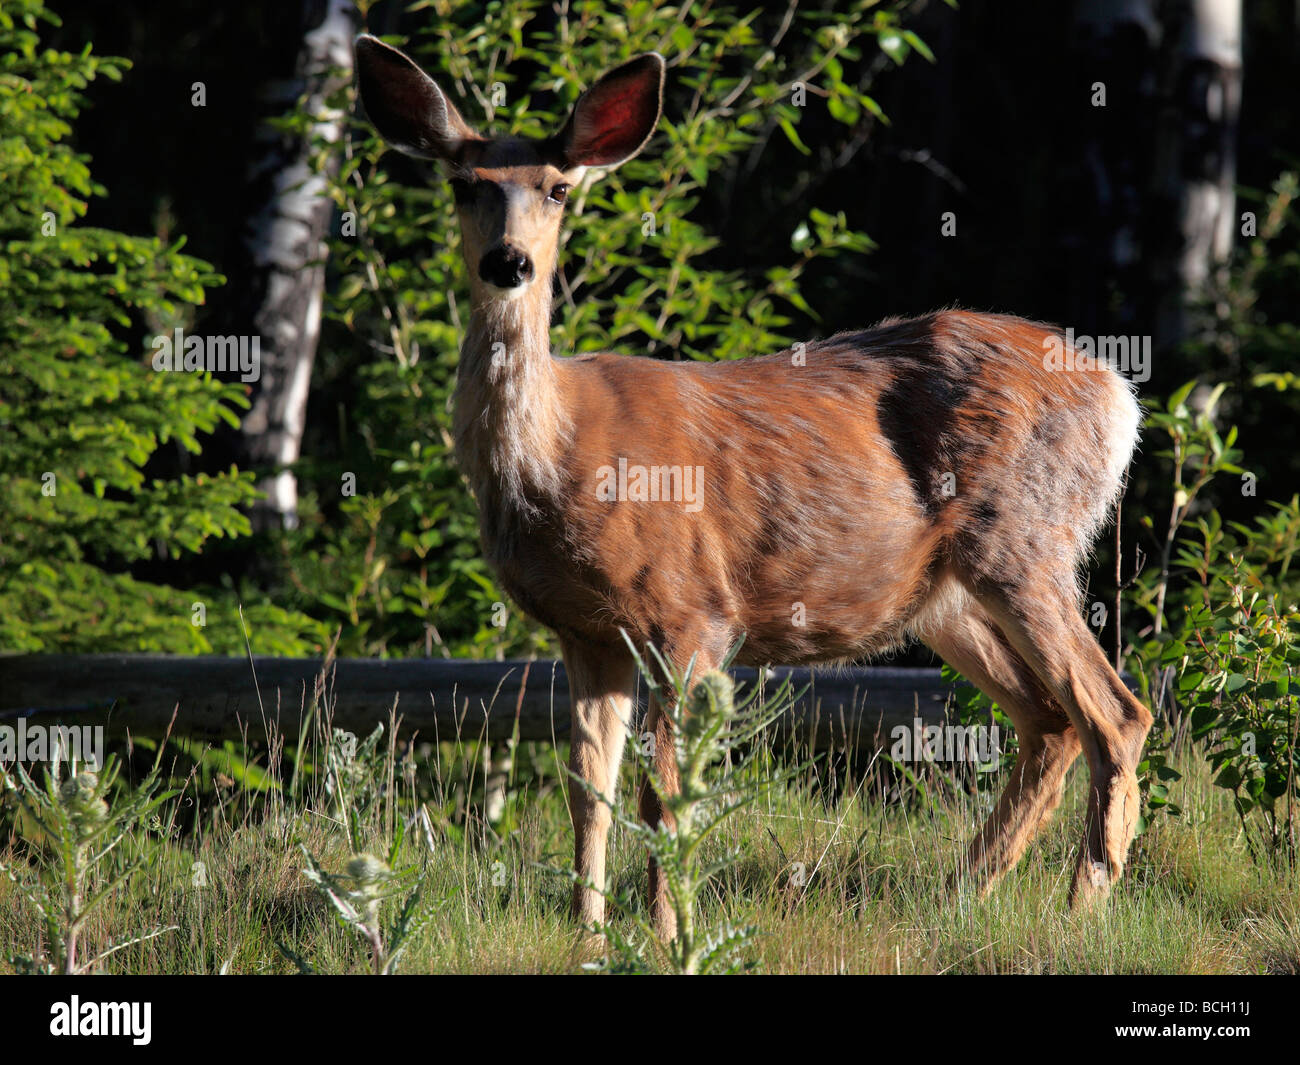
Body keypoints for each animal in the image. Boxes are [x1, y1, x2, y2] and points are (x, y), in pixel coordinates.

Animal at [353, 34, 1154, 942]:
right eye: (464, 184)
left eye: (558, 188)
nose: (508, 261)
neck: (555, 459)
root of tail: (1117, 392)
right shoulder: (588, 633)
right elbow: (588, 793)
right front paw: (587, 933)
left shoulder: (691, 610)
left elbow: (664, 795)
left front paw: (667, 936)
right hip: (944, 598)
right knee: (1048, 721)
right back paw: (956, 896)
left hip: (1022, 542)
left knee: (1115, 714)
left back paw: (1082, 903)